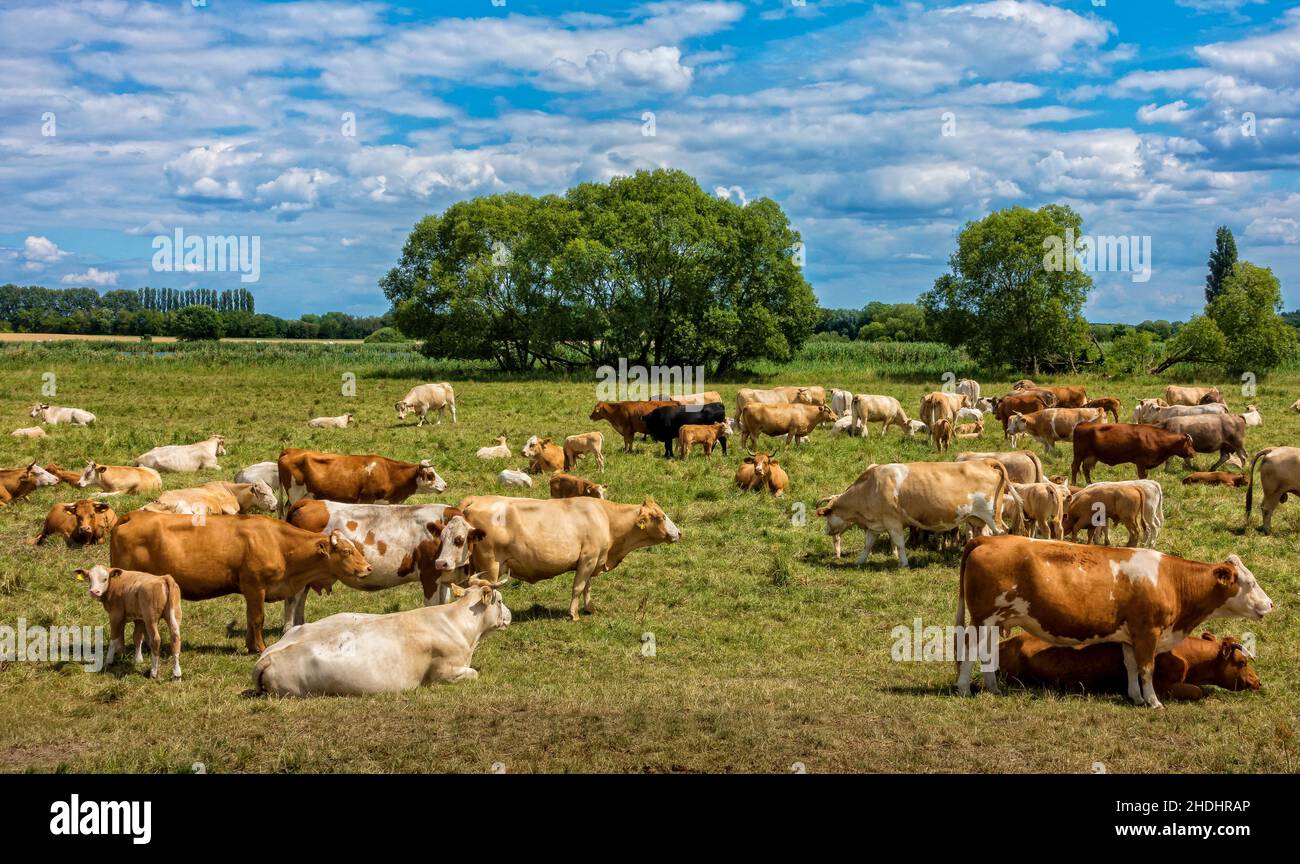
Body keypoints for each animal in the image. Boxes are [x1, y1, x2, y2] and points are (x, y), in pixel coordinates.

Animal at [109, 511, 372, 653]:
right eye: (347, 551)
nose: (368, 568)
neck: (279, 543)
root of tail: (131, 516)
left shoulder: (250, 590)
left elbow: (249, 618)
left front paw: (250, 645)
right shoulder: (255, 586)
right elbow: (257, 619)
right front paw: (261, 648)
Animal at [252, 576, 510, 696]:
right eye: (499, 600)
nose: (509, 615)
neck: (456, 623)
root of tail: (268, 657)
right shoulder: (441, 673)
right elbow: (474, 673)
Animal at [277, 448, 446, 515]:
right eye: (431, 474)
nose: (445, 485)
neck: (389, 473)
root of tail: (290, 450)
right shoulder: (366, 498)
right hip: (295, 493)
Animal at [429, 495, 681, 621]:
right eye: (661, 516)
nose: (678, 533)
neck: (605, 518)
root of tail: (476, 499)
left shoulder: (593, 560)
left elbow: (588, 587)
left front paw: (589, 608)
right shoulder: (588, 558)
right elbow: (578, 586)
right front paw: (573, 614)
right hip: (490, 566)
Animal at [816, 460, 1014, 567]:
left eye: (827, 515)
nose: (825, 531)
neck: (871, 486)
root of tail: (983, 462)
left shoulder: (893, 522)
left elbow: (899, 544)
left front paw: (903, 563)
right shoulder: (876, 525)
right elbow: (867, 544)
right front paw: (859, 562)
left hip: (991, 515)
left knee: (1003, 532)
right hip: (977, 519)